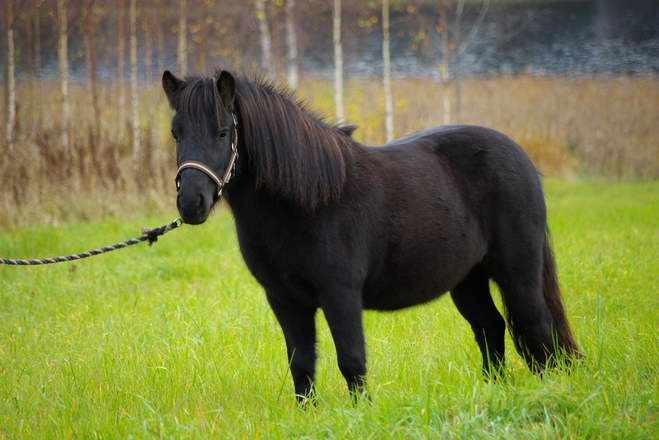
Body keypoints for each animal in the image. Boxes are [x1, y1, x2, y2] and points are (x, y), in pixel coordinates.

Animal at [162, 68, 580, 402]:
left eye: (223, 132)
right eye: (175, 133)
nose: (191, 203)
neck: (309, 198)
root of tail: (518, 154)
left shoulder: (340, 294)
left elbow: (351, 360)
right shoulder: (284, 300)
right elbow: (302, 365)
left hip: (518, 273)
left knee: (536, 328)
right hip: (467, 280)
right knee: (491, 328)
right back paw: (493, 390)